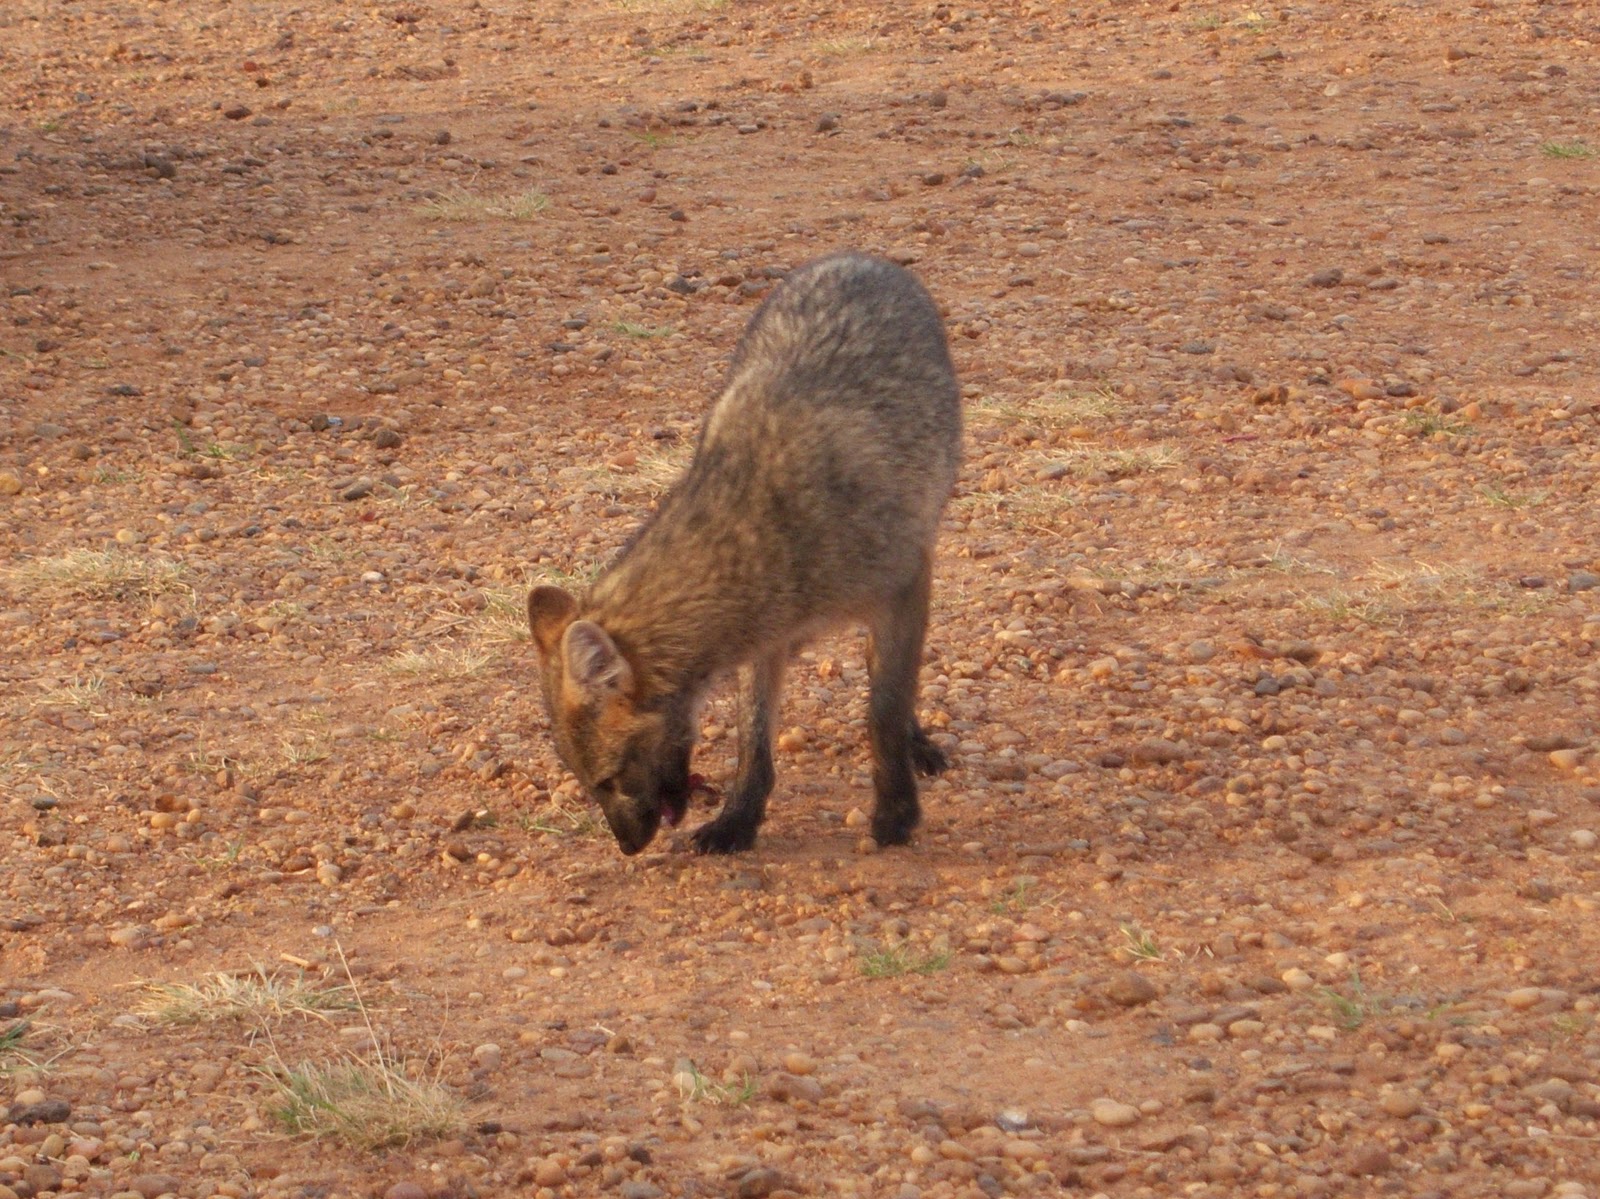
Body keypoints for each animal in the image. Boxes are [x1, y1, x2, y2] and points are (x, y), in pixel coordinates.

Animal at [525, 251, 962, 856]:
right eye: (590, 784)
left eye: (609, 779)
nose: (629, 847)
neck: (763, 525)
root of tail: (858, 256)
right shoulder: (766, 642)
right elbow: (752, 740)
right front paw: (738, 820)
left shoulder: (902, 589)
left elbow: (884, 711)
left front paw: (896, 814)